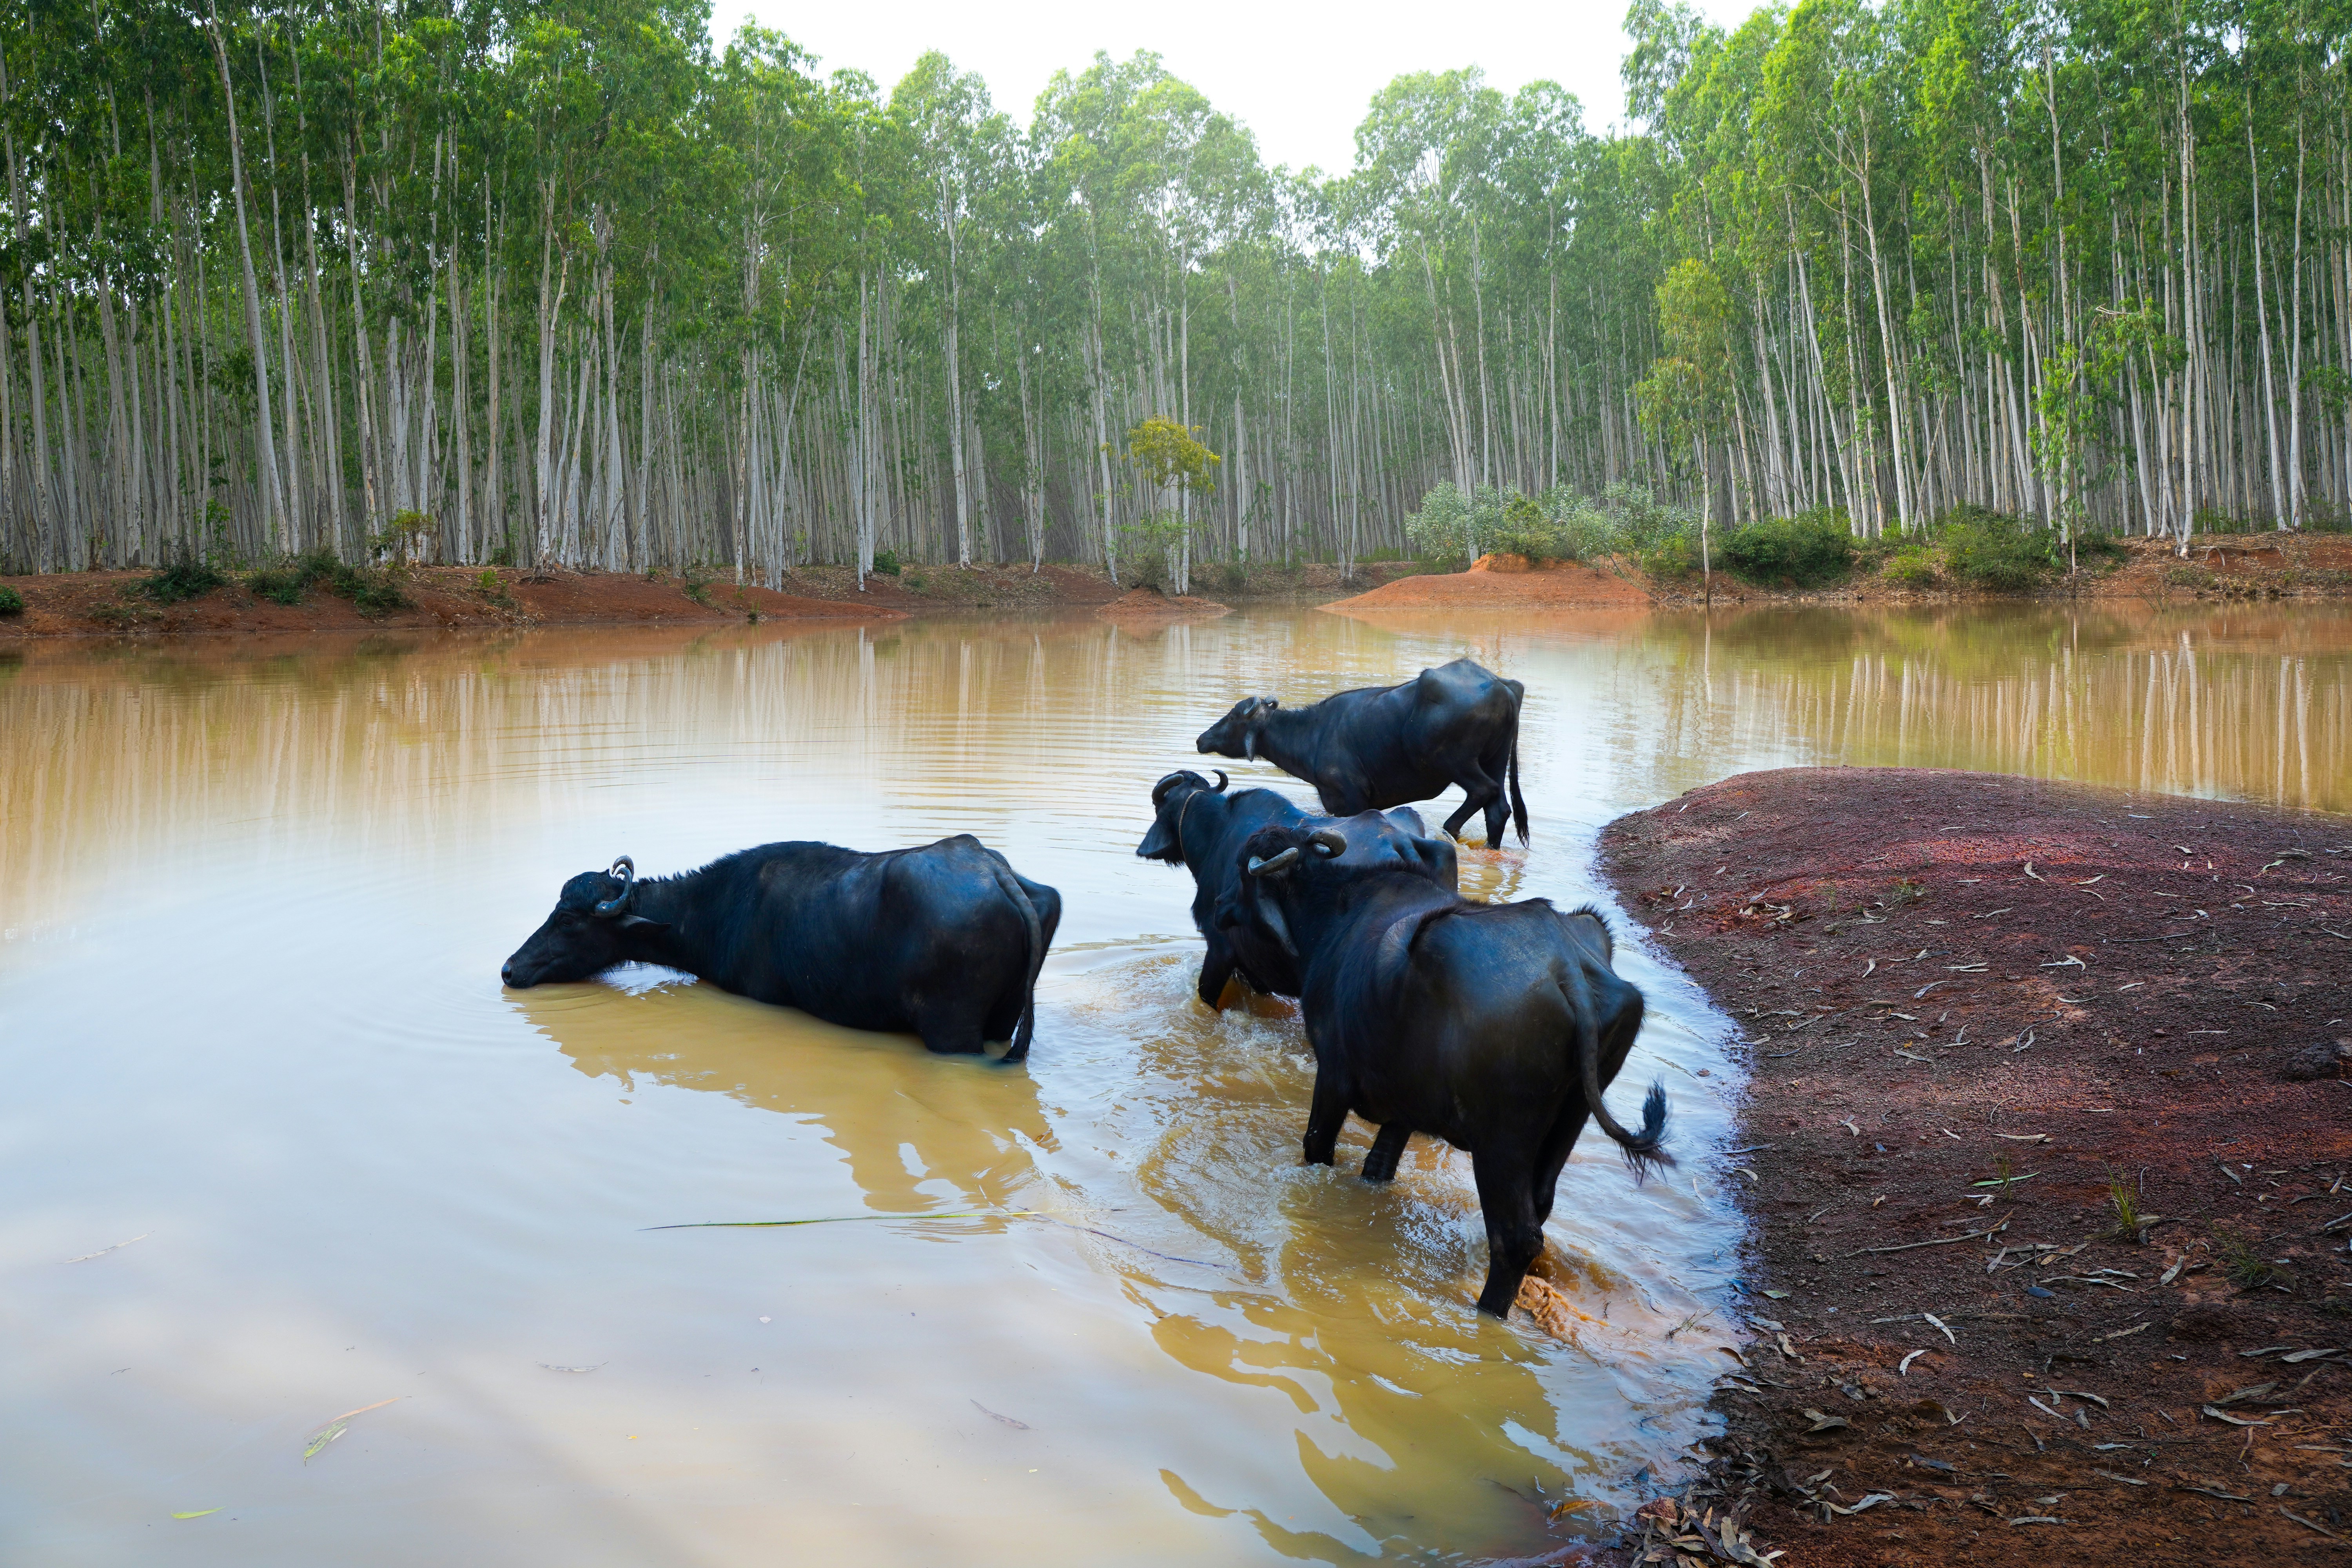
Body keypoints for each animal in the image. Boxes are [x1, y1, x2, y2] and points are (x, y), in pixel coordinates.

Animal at [501, 835, 1060, 1062]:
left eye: (567, 919)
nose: (509, 968)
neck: (719, 908)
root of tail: (992, 869)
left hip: (952, 1032)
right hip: (1002, 1018)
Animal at [1195, 657, 1530, 846]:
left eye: (1232, 717)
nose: (1201, 740)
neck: (1315, 735)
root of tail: (1501, 686)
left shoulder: (1353, 797)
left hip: (1455, 761)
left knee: (1482, 792)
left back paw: (1451, 830)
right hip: (1495, 758)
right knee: (1498, 810)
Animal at [1217, 822, 1669, 1317]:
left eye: (1241, 869)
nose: (1218, 907)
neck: (1337, 915)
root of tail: (1569, 969)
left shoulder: (1333, 1077)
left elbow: (1317, 1145)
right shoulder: (1402, 1105)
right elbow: (1379, 1164)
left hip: (1502, 1141)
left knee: (1516, 1238)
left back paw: (1487, 1309)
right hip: (1570, 1120)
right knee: (1542, 1204)